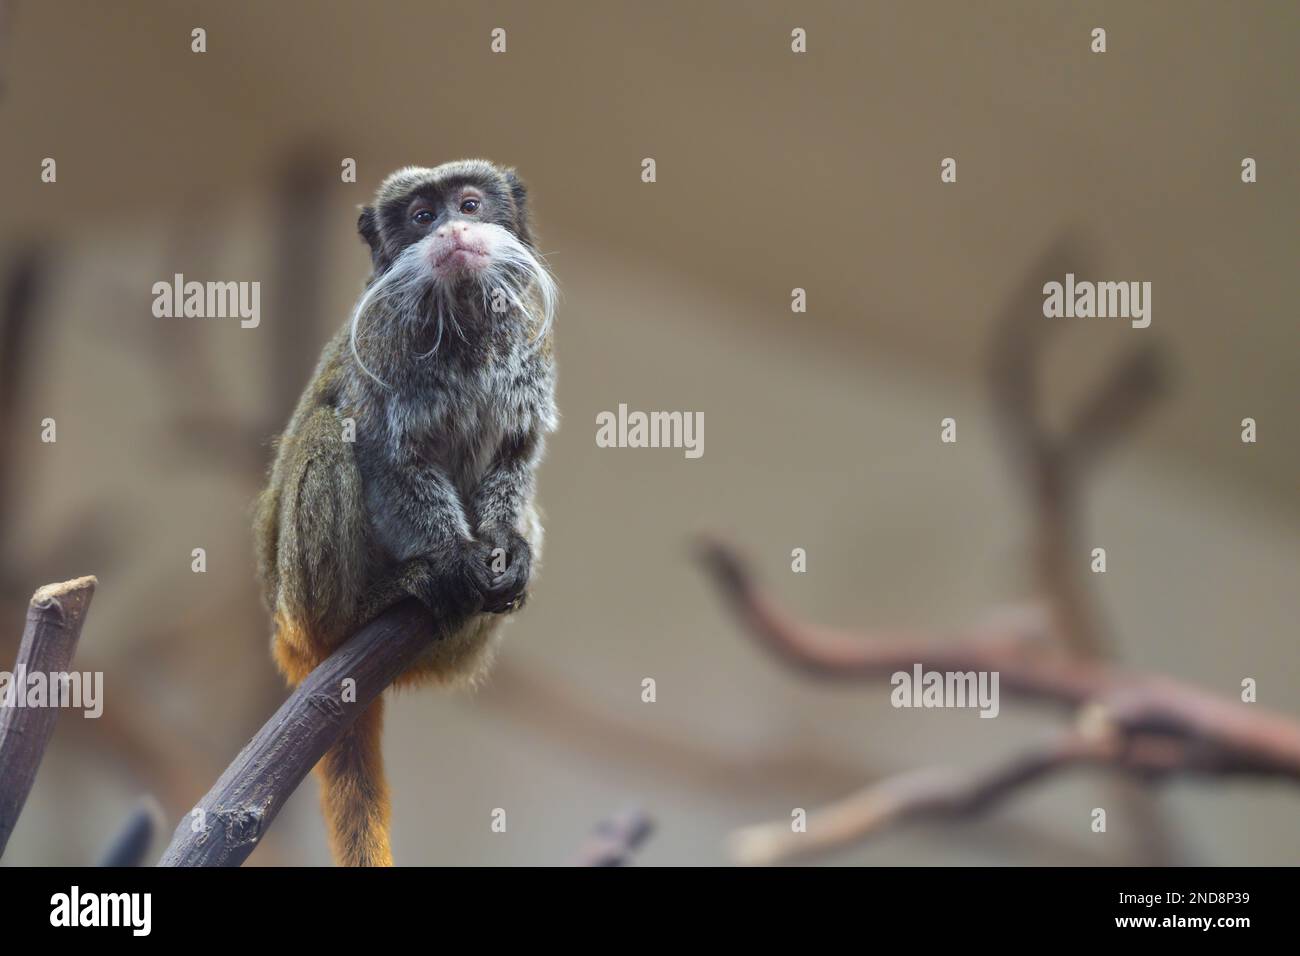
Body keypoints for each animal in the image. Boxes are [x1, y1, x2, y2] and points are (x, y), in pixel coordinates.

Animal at [253, 160, 557, 866]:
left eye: (469, 205)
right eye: (422, 216)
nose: (451, 228)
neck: (463, 320)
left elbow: (514, 453)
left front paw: (501, 550)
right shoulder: (383, 355)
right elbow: (389, 458)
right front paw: (450, 562)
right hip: (298, 603)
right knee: (326, 432)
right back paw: (377, 604)